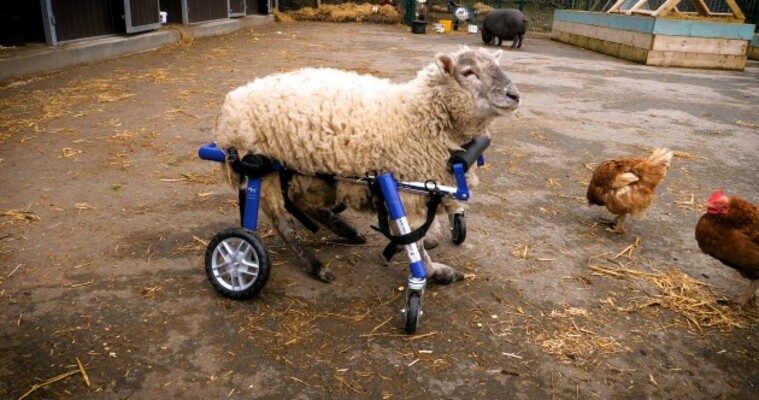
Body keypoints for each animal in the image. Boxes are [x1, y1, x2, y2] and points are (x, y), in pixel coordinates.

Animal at [214, 46, 520, 284]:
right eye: (468, 72)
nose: (514, 95)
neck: (416, 115)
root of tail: (231, 101)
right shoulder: (407, 193)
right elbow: (416, 241)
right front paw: (435, 271)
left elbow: (429, 233)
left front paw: (421, 243)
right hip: (263, 171)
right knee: (283, 223)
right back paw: (315, 266)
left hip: (308, 172)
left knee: (304, 203)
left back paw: (347, 231)